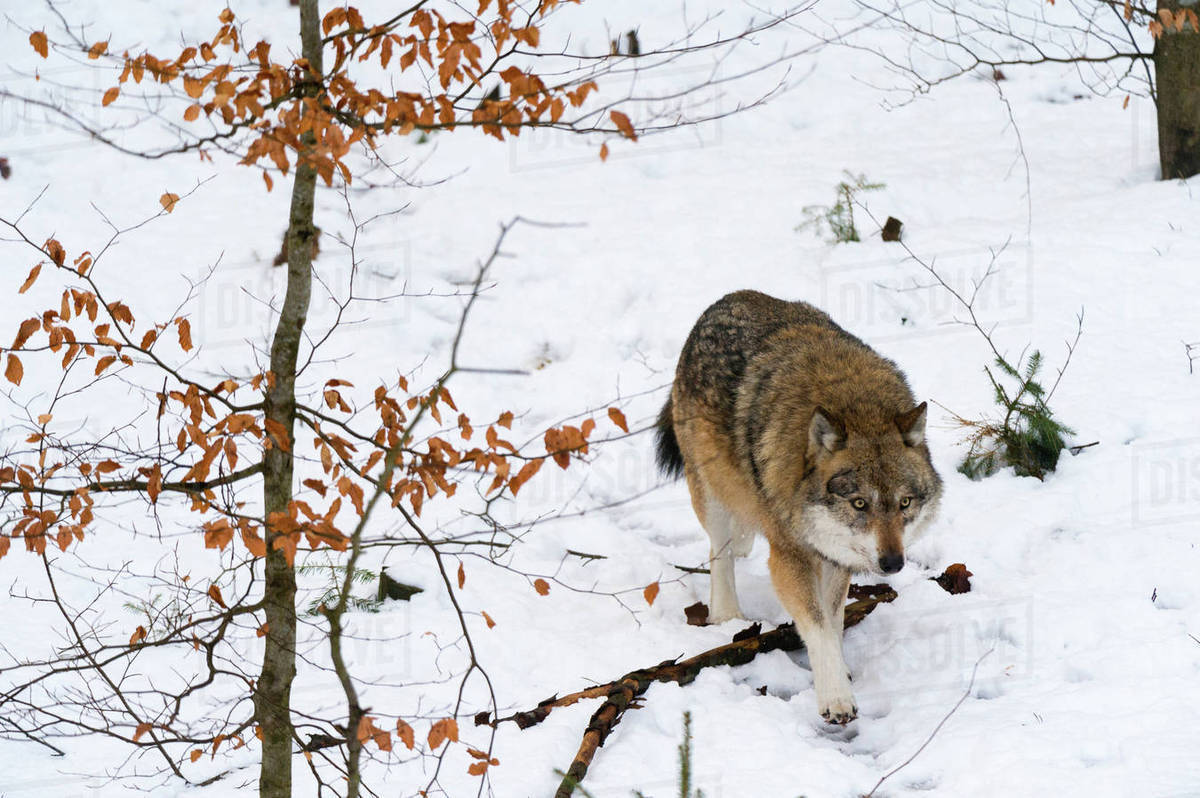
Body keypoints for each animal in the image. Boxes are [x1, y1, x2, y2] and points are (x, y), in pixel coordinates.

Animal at [656, 290, 942, 724]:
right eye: (859, 503)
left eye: (904, 502)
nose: (893, 564)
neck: (855, 402)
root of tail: (729, 298)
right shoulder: (790, 556)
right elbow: (818, 624)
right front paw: (836, 698)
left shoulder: (837, 556)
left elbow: (834, 617)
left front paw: (839, 670)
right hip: (709, 489)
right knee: (719, 551)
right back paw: (726, 615)